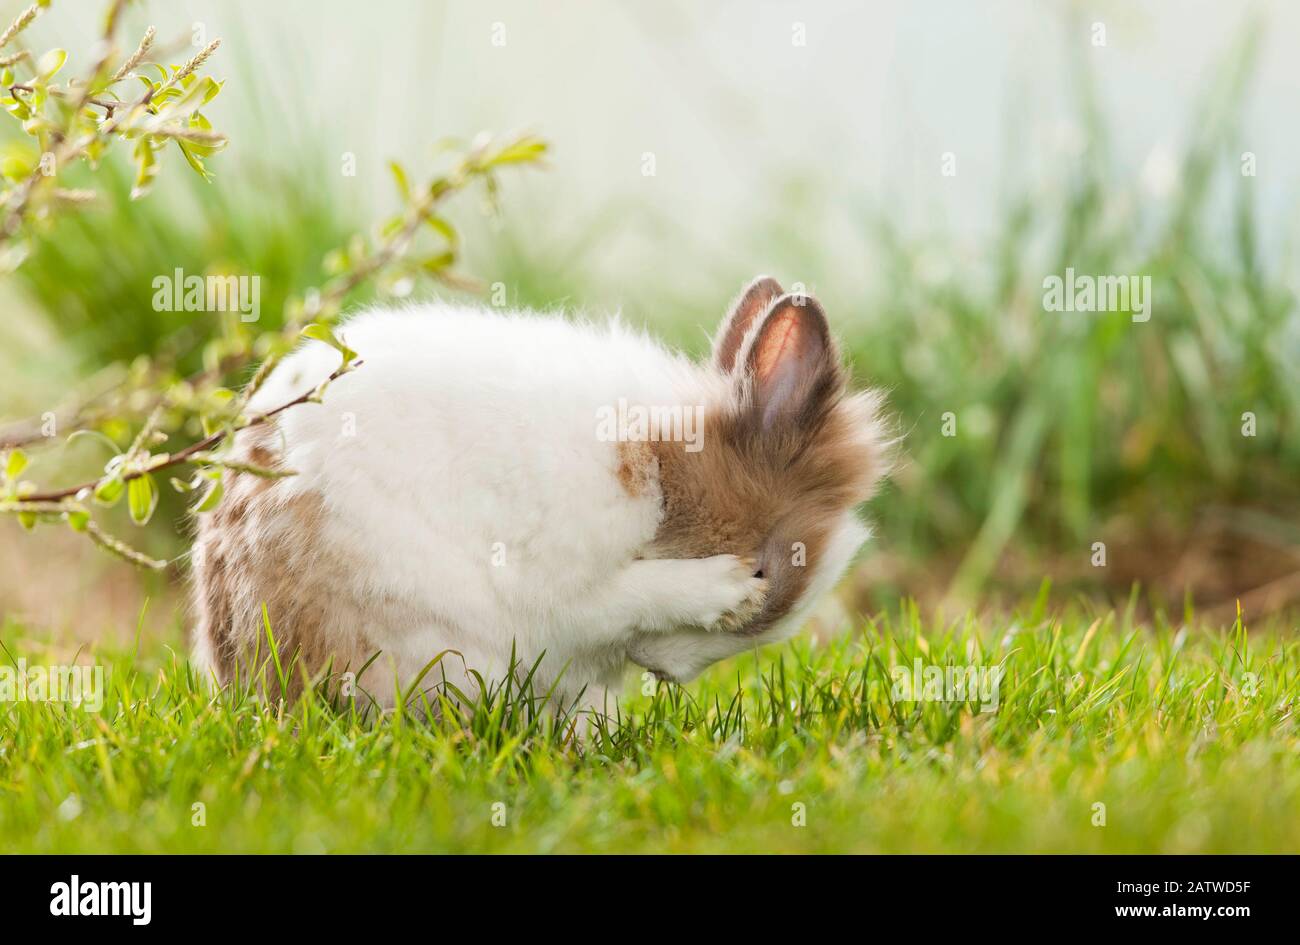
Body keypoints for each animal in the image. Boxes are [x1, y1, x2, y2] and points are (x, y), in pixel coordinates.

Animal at [191, 276, 889, 712]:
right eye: (762, 573)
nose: (669, 672)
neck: (663, 469)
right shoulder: (563, 581)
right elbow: (624, 598)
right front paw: (721, 589)